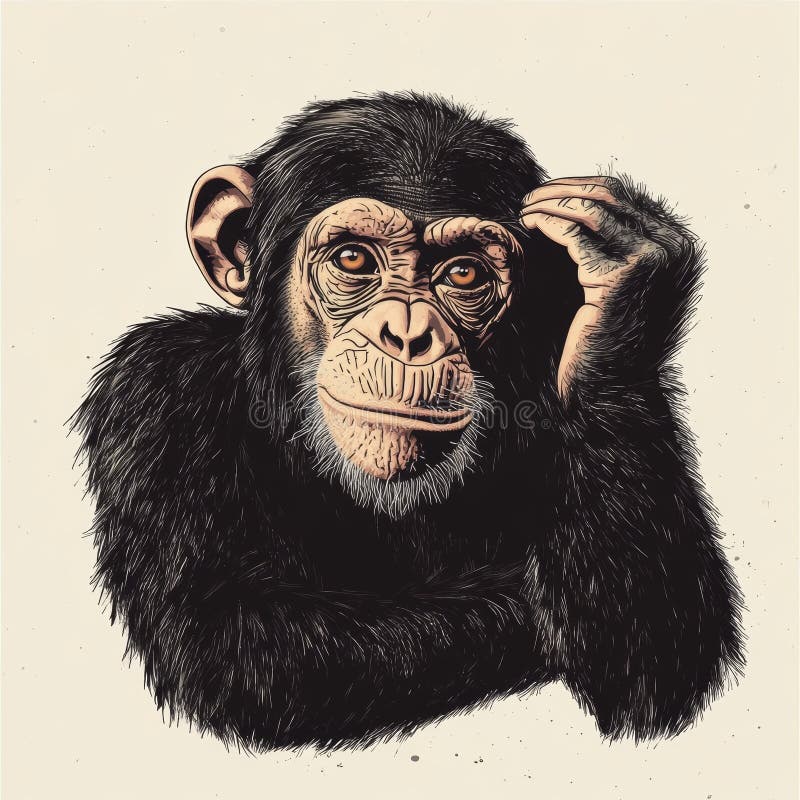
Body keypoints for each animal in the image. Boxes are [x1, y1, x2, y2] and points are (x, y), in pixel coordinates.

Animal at [73, 91, 744, 751]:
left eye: (464, 273)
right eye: (353, 258)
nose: (409, 334)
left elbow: (658, 657)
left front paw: (619, 275)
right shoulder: (152, 393)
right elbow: (237, 634)